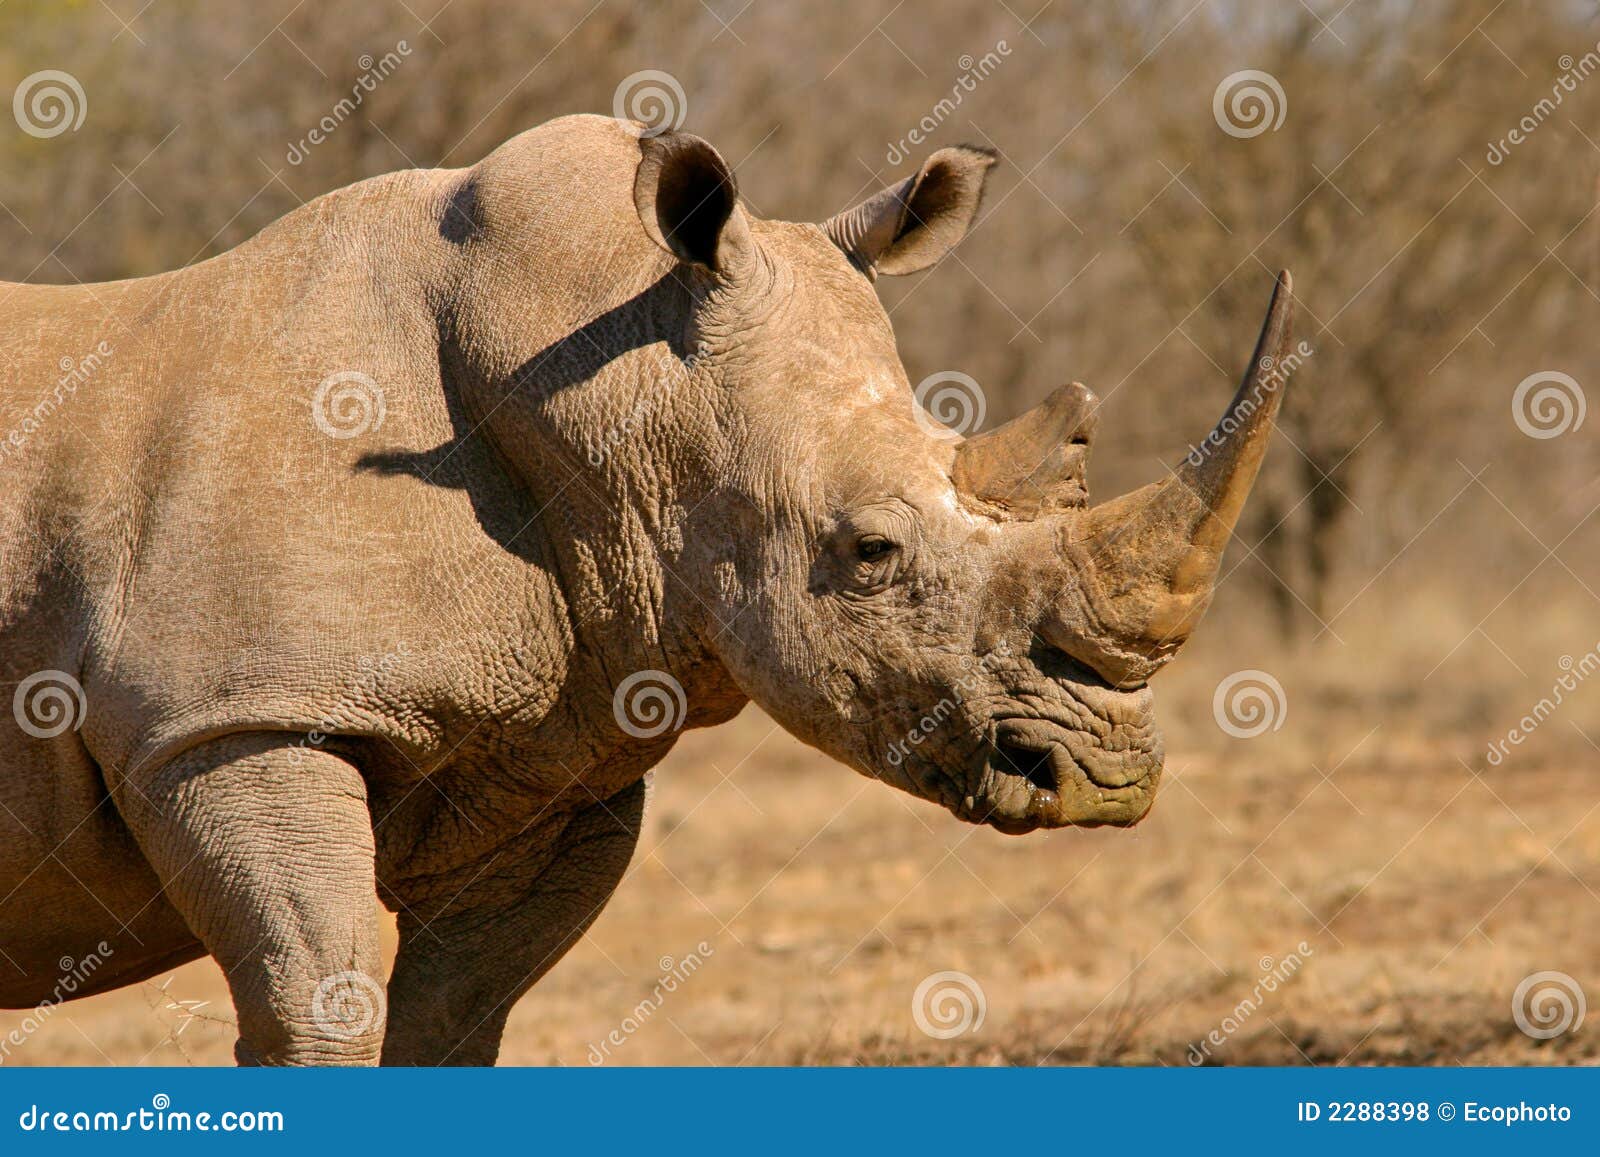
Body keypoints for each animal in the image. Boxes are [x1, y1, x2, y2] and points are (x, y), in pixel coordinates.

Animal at [0, 114, 1295, 1065]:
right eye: (869, 552)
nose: (1105, 777)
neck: (619, 403)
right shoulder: (222, 719)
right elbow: (318, 999)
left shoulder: (557, 760)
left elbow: (453, 1023)